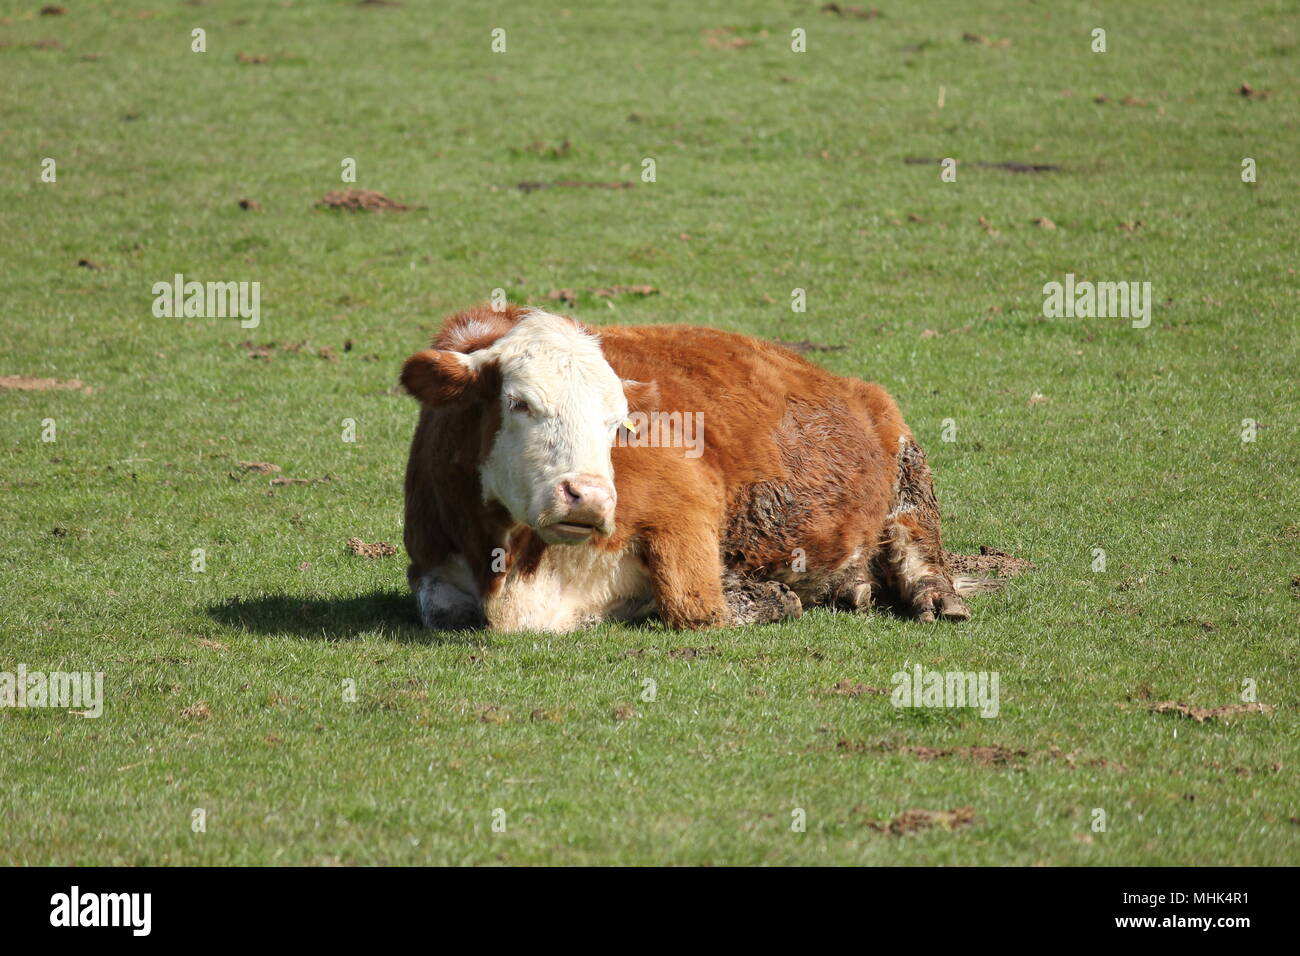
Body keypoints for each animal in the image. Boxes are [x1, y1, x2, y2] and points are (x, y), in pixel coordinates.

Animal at [401, 304, 982, 633]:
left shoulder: (686, 510)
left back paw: (936, 597)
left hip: (908, 476)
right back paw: (851, 588)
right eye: (519, 402)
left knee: (918, 551)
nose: (591, 498)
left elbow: (695, 606)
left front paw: (762, 597)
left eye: (617, 421)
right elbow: (438, 610)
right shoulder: (431, 565)